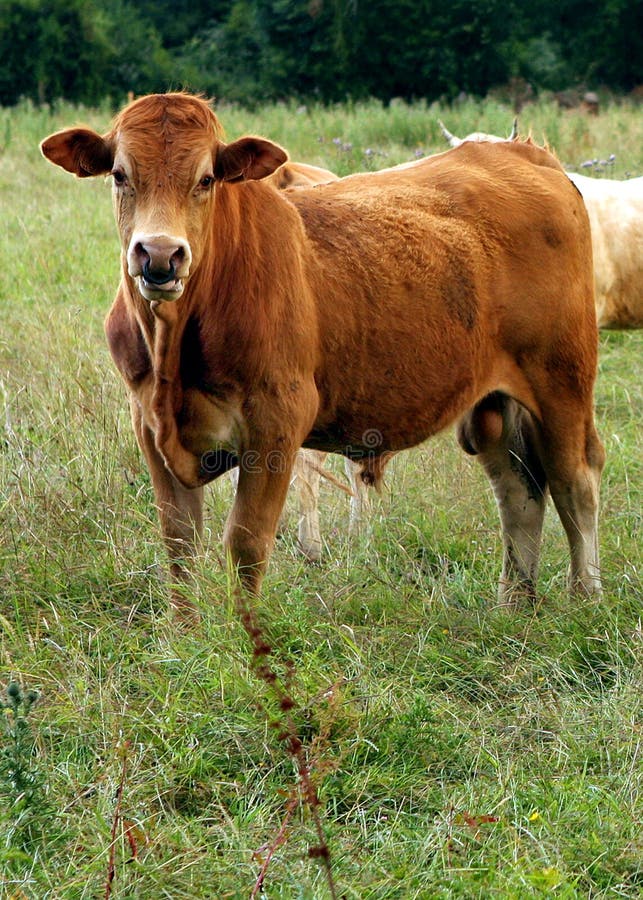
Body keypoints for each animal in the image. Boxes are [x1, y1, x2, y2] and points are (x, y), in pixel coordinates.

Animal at [41, 92, 604, 620]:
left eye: (206, 179)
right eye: (120, 174)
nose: (159, 255)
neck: (173, 348)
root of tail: (521, 152)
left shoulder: (277, 422)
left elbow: (245, 541)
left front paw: (242, 636)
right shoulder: (149, 425)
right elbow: (179, 544)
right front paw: (185, 634)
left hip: (561, 382)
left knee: (574, 482)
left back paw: (584, 598)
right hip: (495, 401)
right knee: (518, 489)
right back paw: (516, 603)